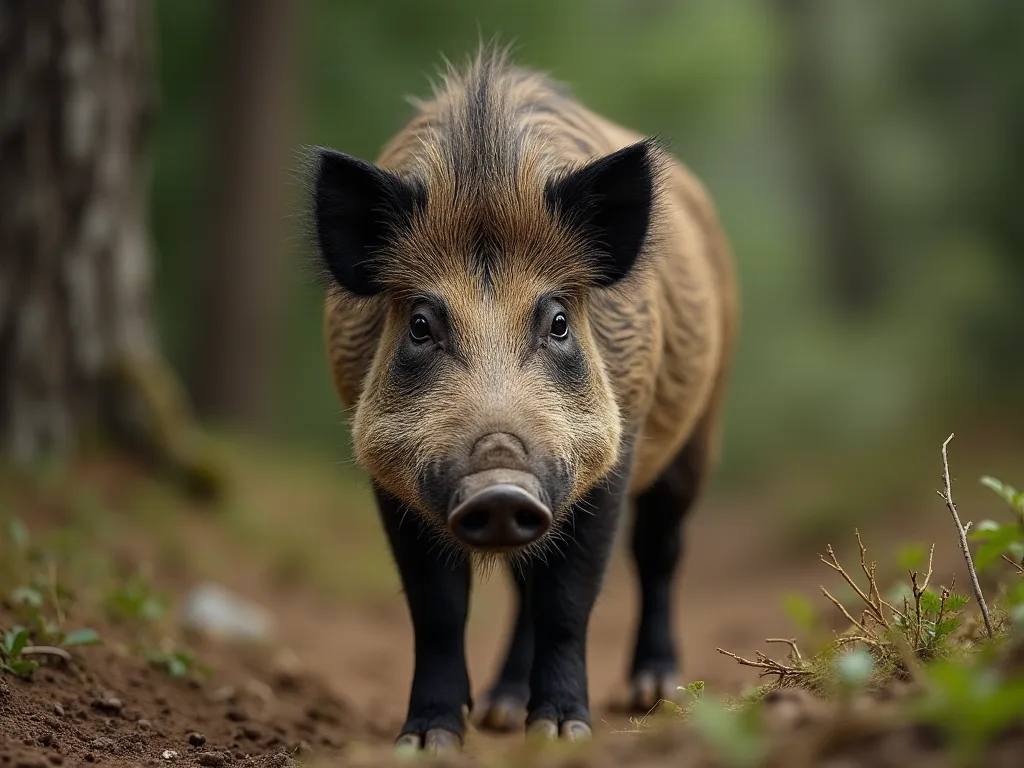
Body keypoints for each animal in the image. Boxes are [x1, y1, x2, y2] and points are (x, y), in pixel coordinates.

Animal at [306, 44, 737, 752]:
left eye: (559, 321)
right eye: (420, 324)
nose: (500, 486)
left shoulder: (619, 445)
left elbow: (570, 596)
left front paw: (564, 734)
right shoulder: (388, 467)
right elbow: (438, 607)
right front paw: (427, 742)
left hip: (701, 427)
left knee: (660, 549)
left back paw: (653, 691)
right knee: (523, 582)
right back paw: (502, 712)